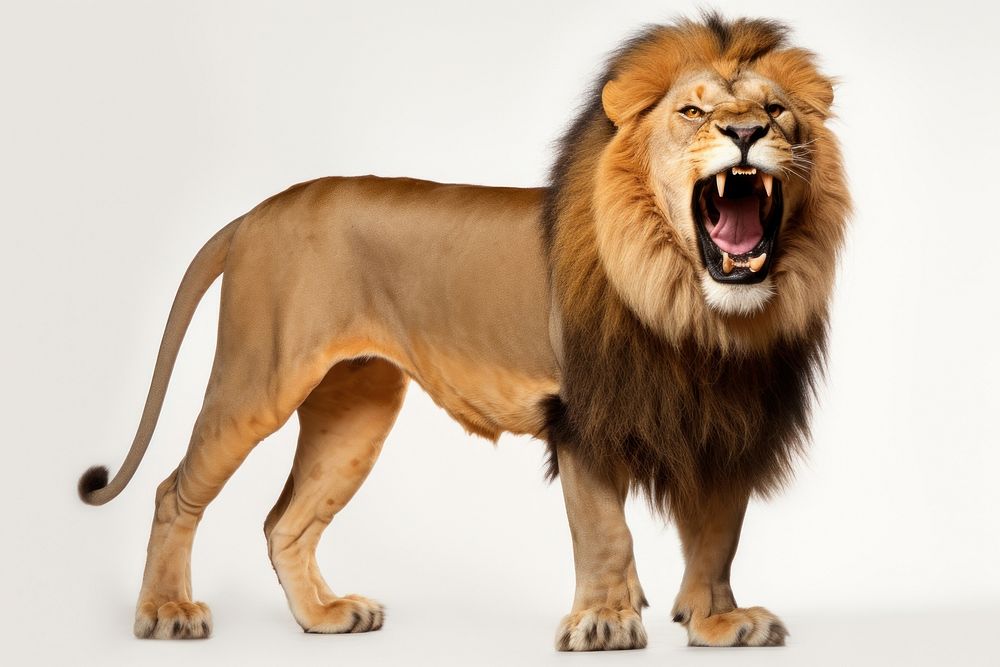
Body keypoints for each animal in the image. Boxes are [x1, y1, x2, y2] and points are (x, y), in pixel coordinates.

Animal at [78, 14, 848, 650]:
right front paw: (604, 620)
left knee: (283, 522)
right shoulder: (580, 417)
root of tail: (254, 214)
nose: (745, 134)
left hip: (355, 409)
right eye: (693, 111)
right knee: (174, 491)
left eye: (776, 111)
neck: (694, 311)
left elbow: (717, 536)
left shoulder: (732, 421)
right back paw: (166, 612)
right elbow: (605, 530)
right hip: (257, 376)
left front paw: (719, 621)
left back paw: (324, 615)